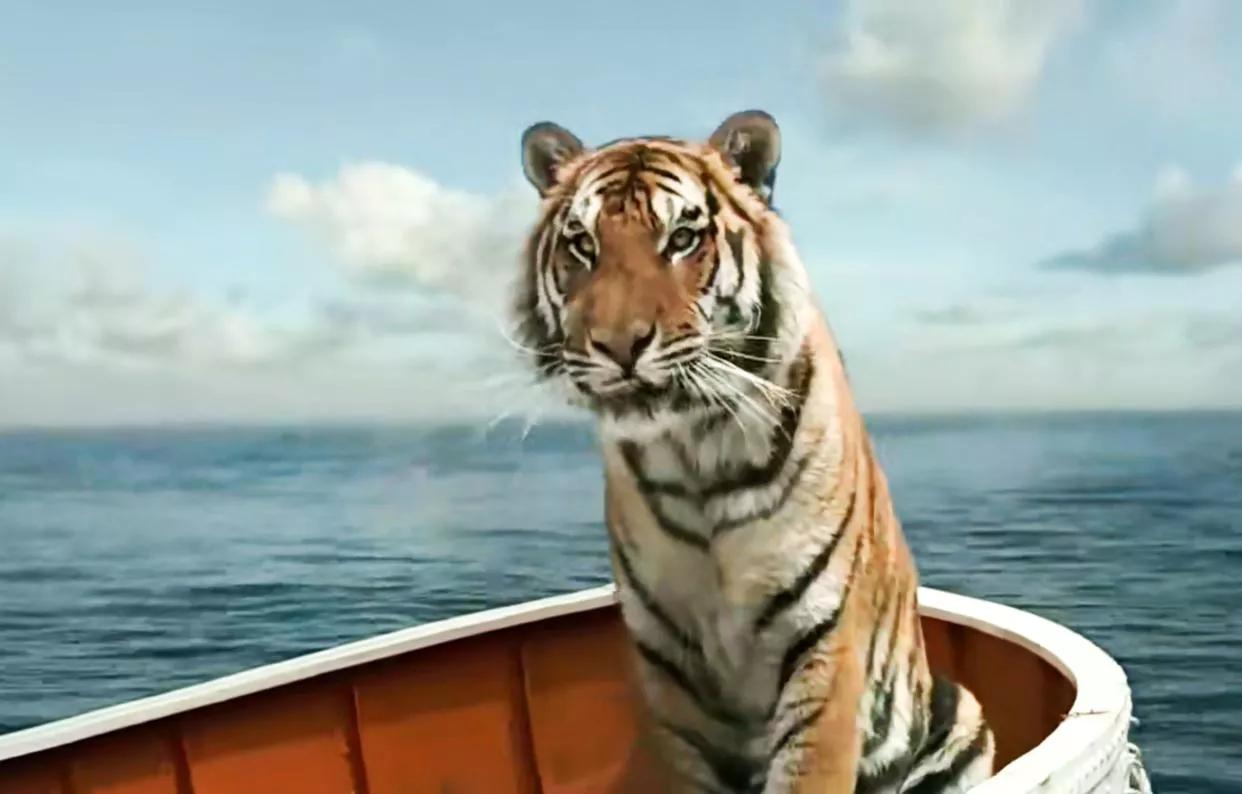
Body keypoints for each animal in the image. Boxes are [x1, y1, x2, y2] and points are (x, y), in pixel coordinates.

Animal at [510, 110, 995, 793]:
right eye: (581, 244)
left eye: (683, 237)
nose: (618, 345)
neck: (695, 454)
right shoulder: (669, 664)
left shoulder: (821, 639)